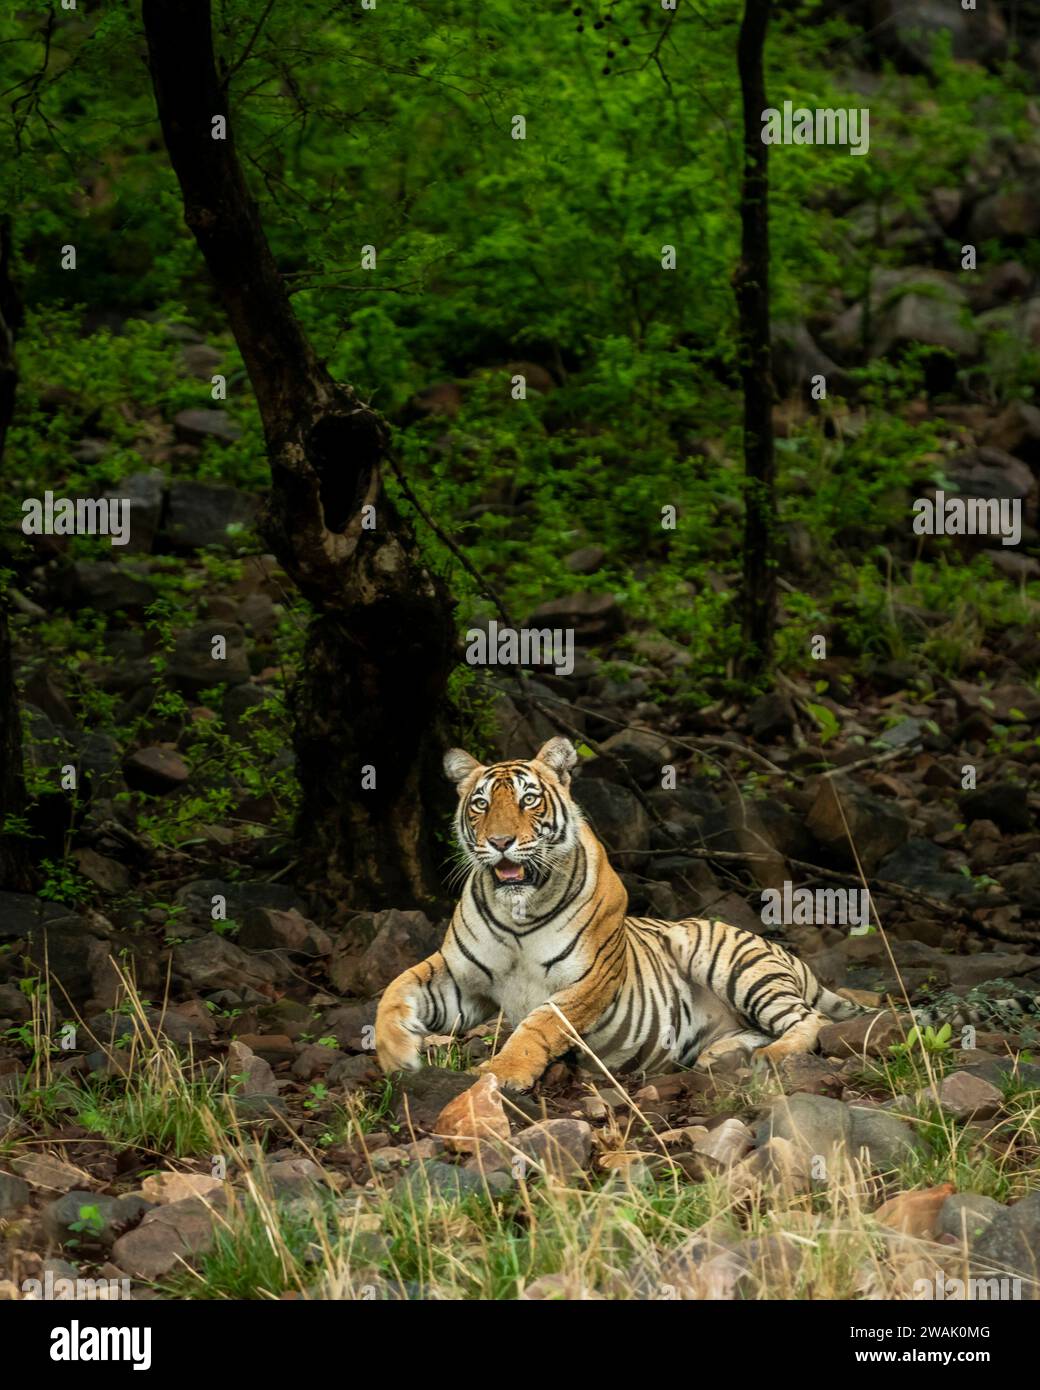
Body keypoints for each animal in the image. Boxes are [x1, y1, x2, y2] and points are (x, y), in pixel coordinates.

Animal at [375, 737, 1037, 1092]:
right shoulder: (460, 979)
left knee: (809, 1021)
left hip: (728, 958)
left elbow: (538, 1023)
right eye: (481, 805)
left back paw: (767, 1057)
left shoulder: (585, 982)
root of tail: (794, 959)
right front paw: (397, 1055)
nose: (502, 843)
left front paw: (505, 1069)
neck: (517, 911)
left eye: (529, 800)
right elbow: (394, 991)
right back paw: (725, 1055)